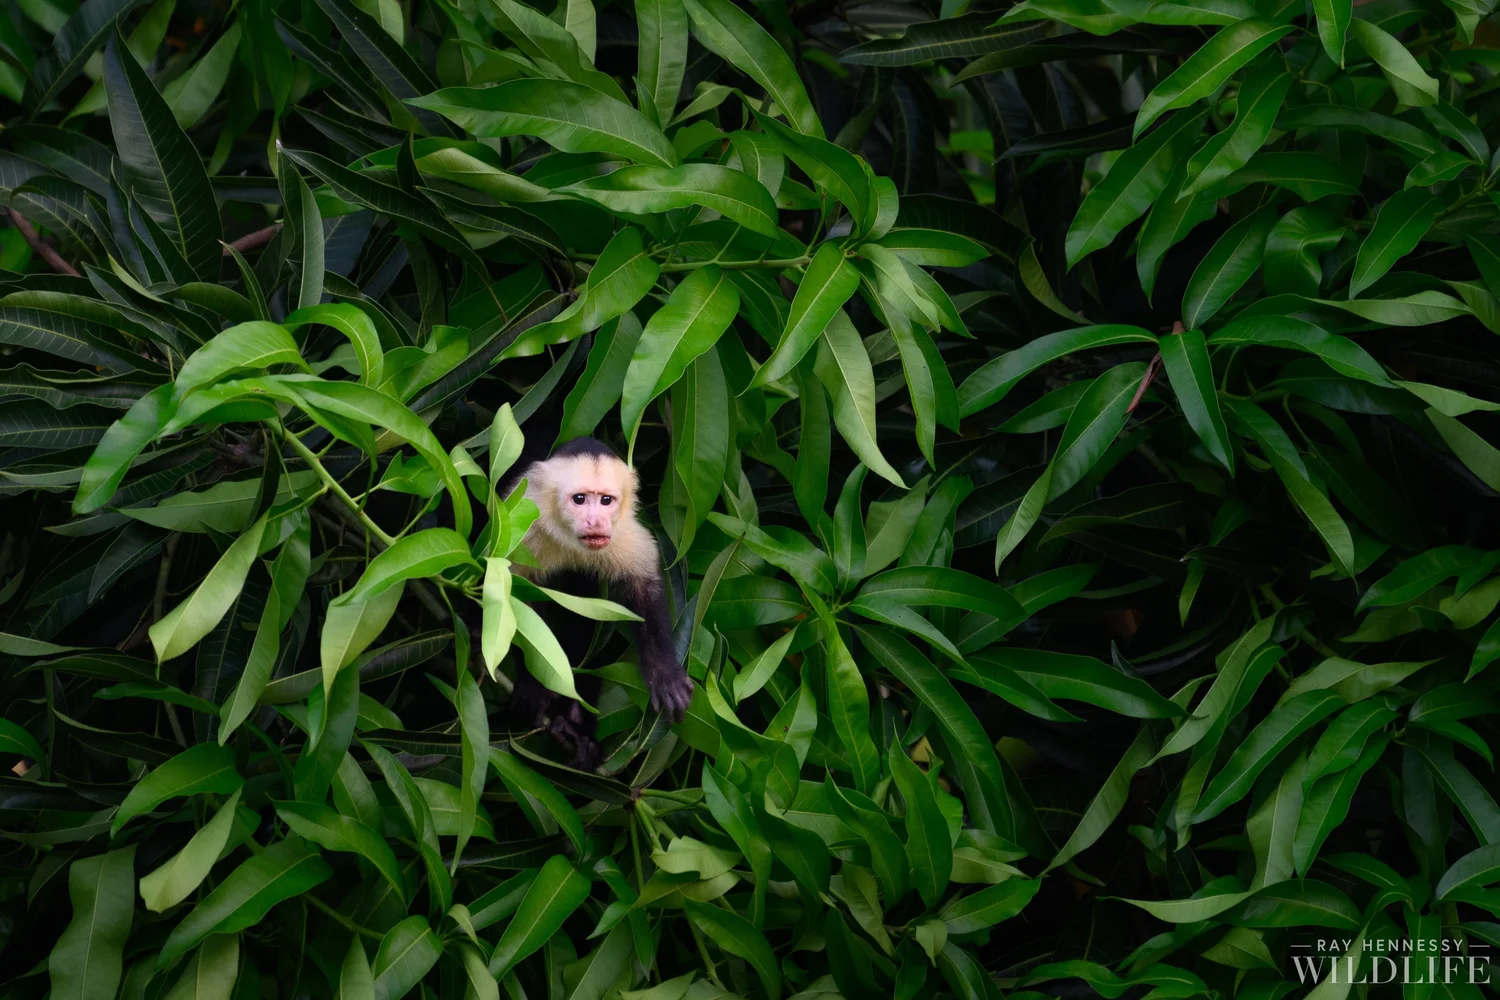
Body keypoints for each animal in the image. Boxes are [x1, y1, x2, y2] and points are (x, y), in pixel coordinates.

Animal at [504, 436, 693, 767]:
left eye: (606, 501)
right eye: (579, 499)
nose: (595, 521)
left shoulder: (623, 533)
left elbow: (644, 590)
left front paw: (664, 673)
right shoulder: (523, 527)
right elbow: (516, 600)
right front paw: (531, 687)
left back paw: (575, 725)